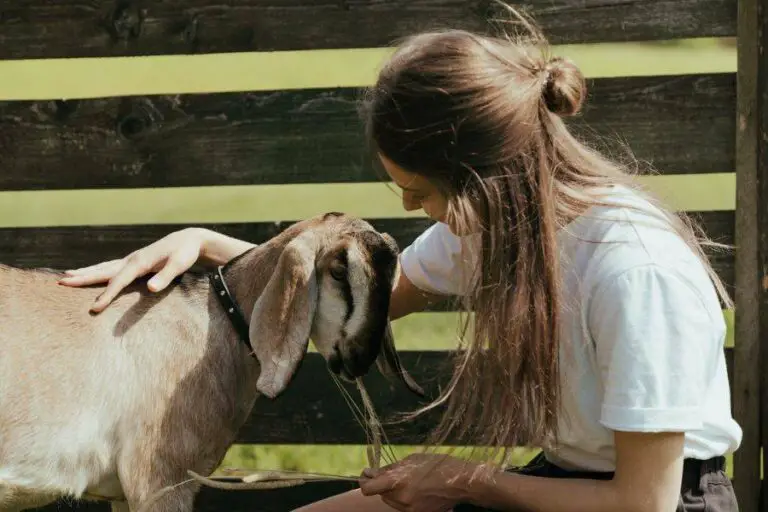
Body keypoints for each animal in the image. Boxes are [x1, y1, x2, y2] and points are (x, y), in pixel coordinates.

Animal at [0, 212, 424, 512]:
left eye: (390, 281)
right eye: (337, 270)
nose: (359, 357)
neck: (211, 322)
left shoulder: (126, 492)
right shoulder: (159, 479)